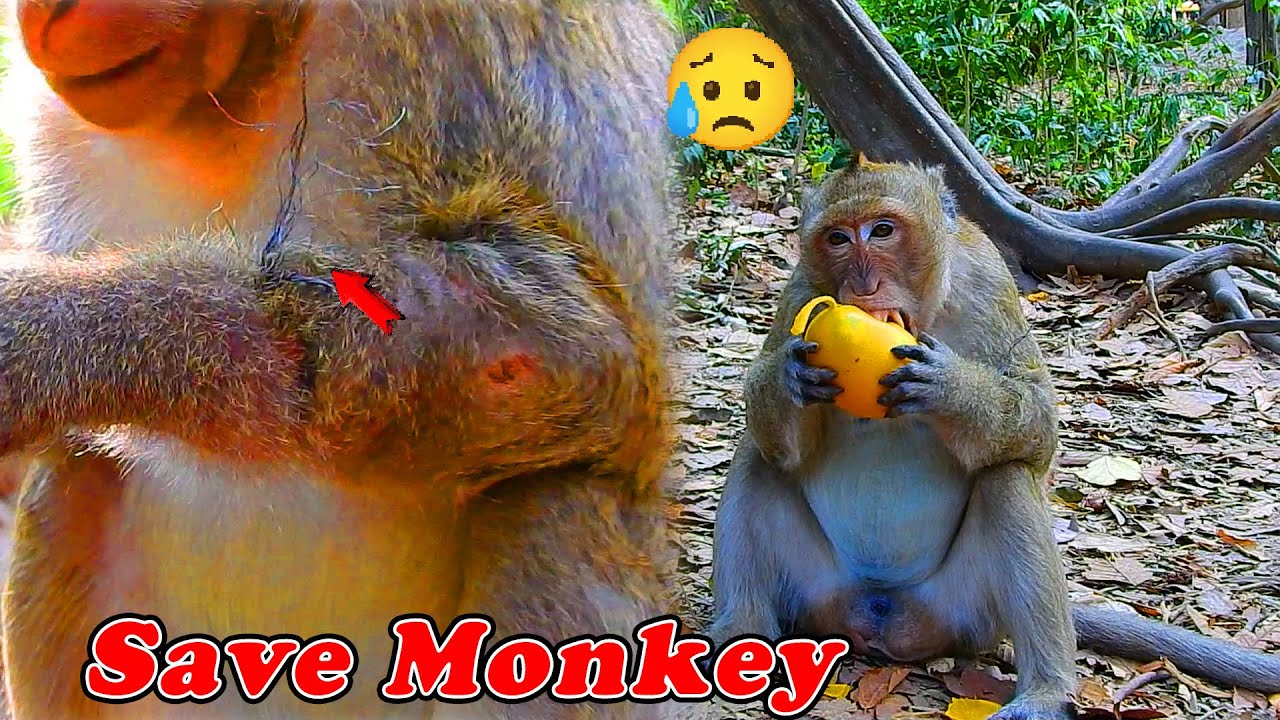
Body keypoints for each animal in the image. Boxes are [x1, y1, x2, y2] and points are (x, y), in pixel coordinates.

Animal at [0, 1, 678, 718]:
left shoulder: (451, 36)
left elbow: (576, 348)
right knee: (74, 468)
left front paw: (35, 338)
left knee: (552, 494)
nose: (41, 18)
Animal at [707, 158, 1280, 720]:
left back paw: (1046, 691)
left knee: (1005, 477)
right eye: (838, 239)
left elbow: (1038, 427)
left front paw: (951, 388)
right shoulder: (802, 292)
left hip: (965, 613)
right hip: (819, 594)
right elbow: (784, 446)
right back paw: (741, 634)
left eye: (883, 230)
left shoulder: (987, 278)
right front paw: (789, 376)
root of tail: (882, 615)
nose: (862, 287)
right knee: (758, 455)